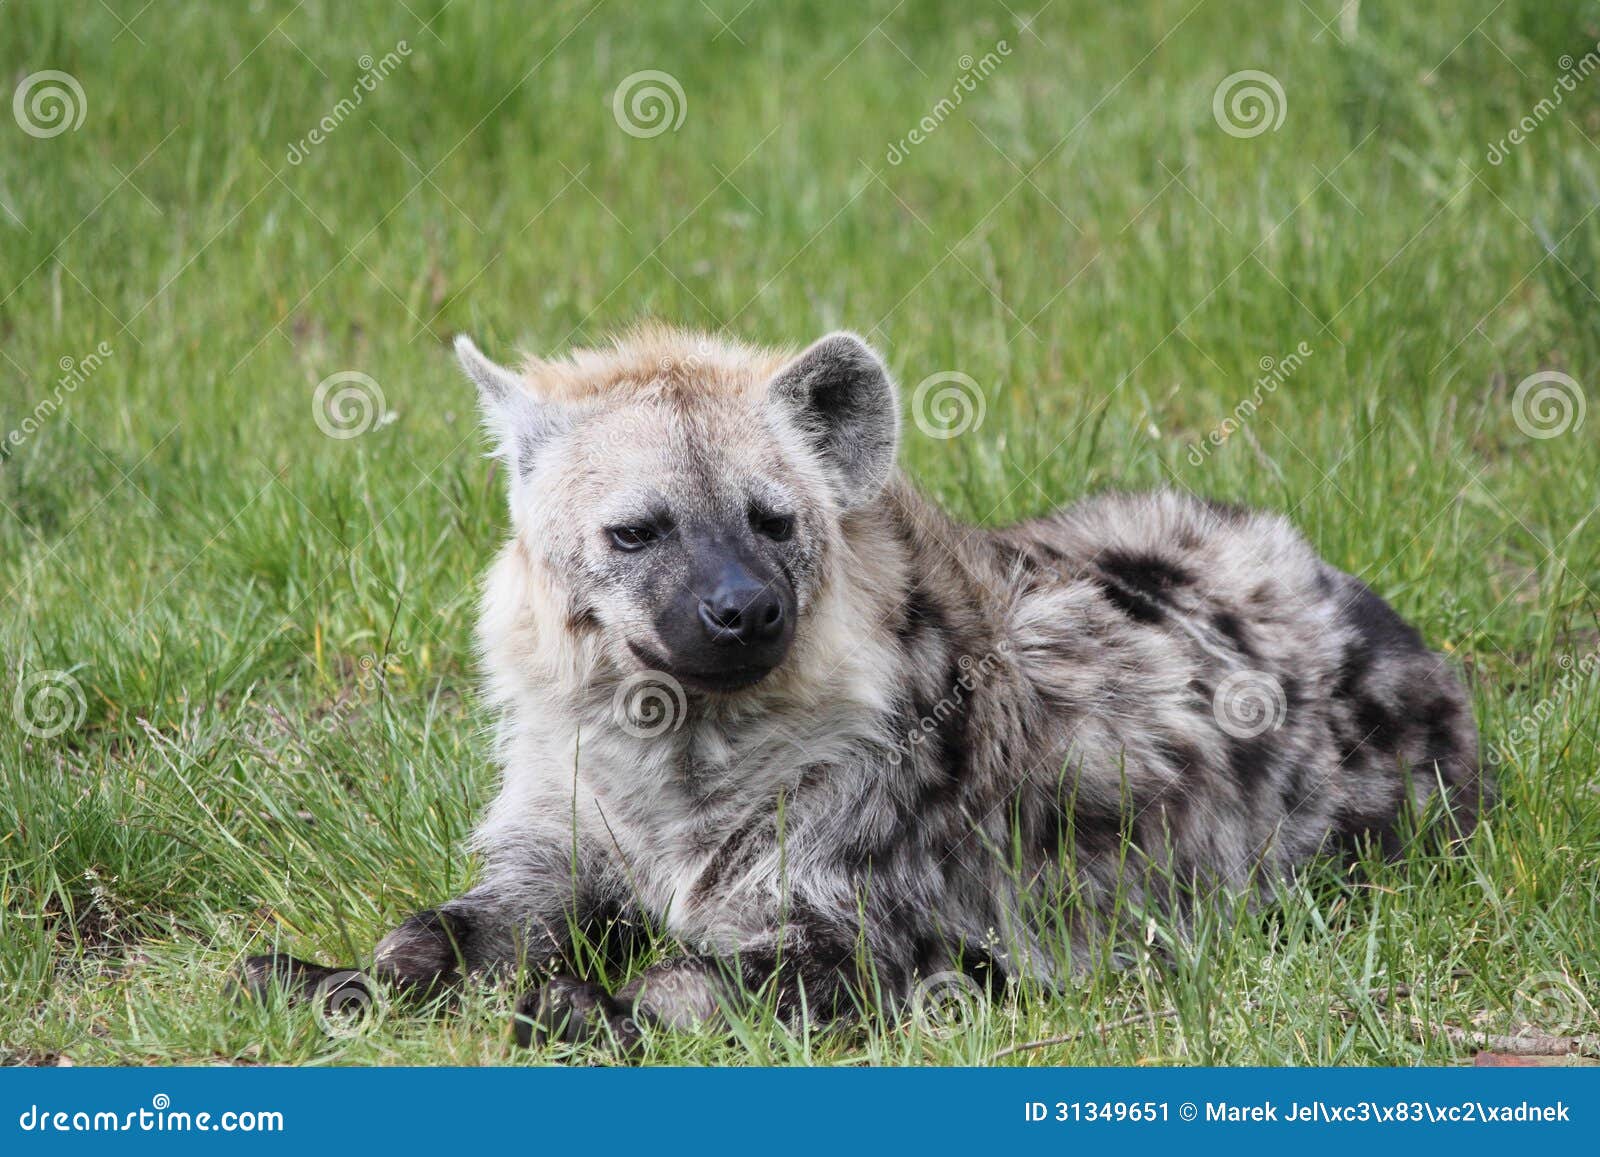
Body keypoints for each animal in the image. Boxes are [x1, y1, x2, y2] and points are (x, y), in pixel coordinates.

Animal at [243, 325, 1487, 1048]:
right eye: (636, 530)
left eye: (773, 519)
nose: (742, 608)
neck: (668, 754)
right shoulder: (559, 831)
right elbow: (451, 921)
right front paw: (327, 978)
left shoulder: (893, 930)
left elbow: (699, 981)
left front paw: (580, 1007)